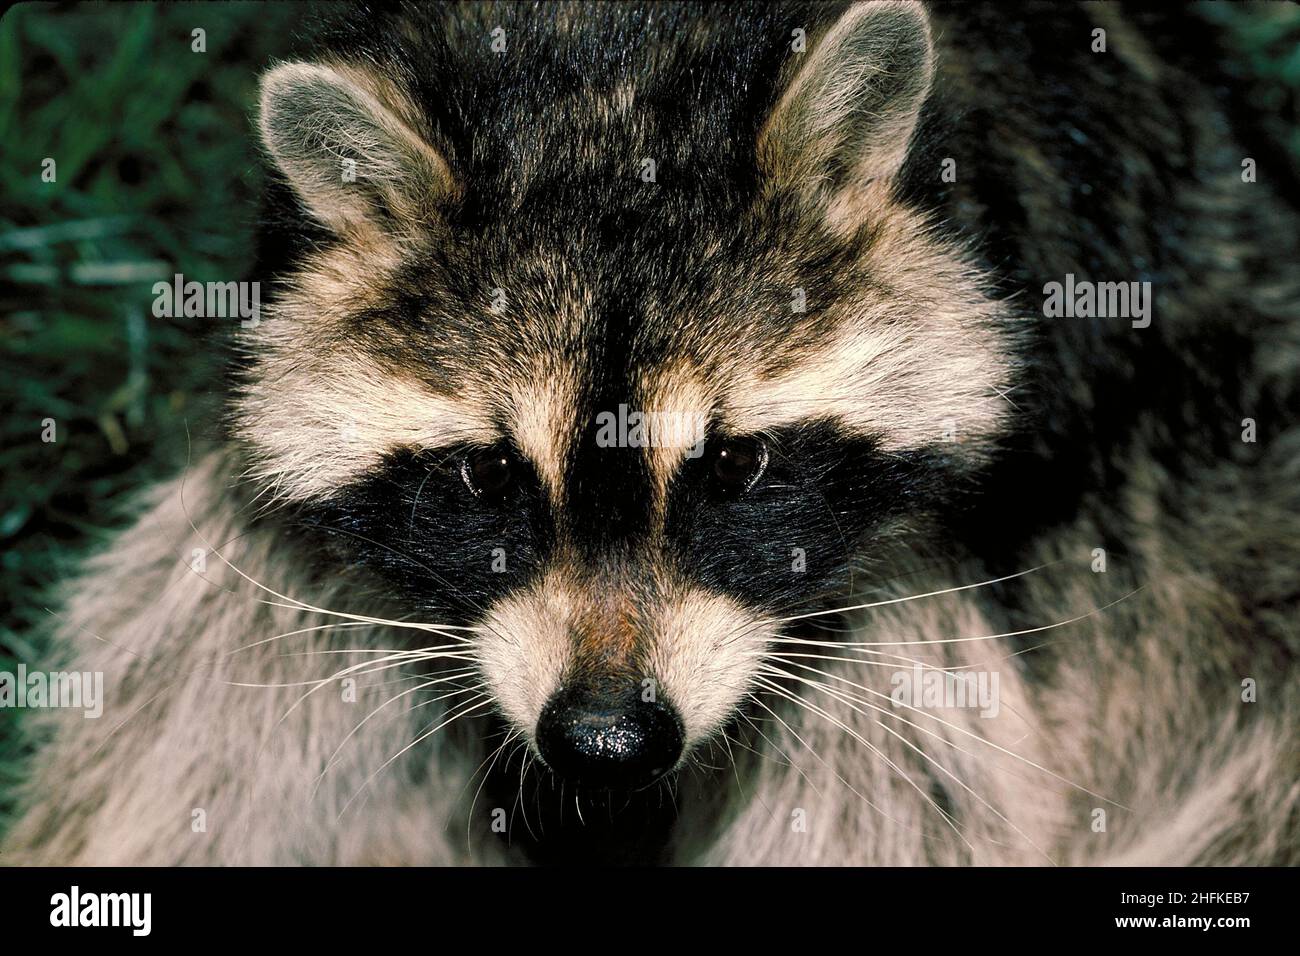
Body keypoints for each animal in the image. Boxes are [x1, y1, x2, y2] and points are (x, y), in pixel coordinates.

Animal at [5, 0, 1299, 866]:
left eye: (739, 464)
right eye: (485, 473)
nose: (606, 740)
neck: (611, 74)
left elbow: (899, 759)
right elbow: (230, 654)